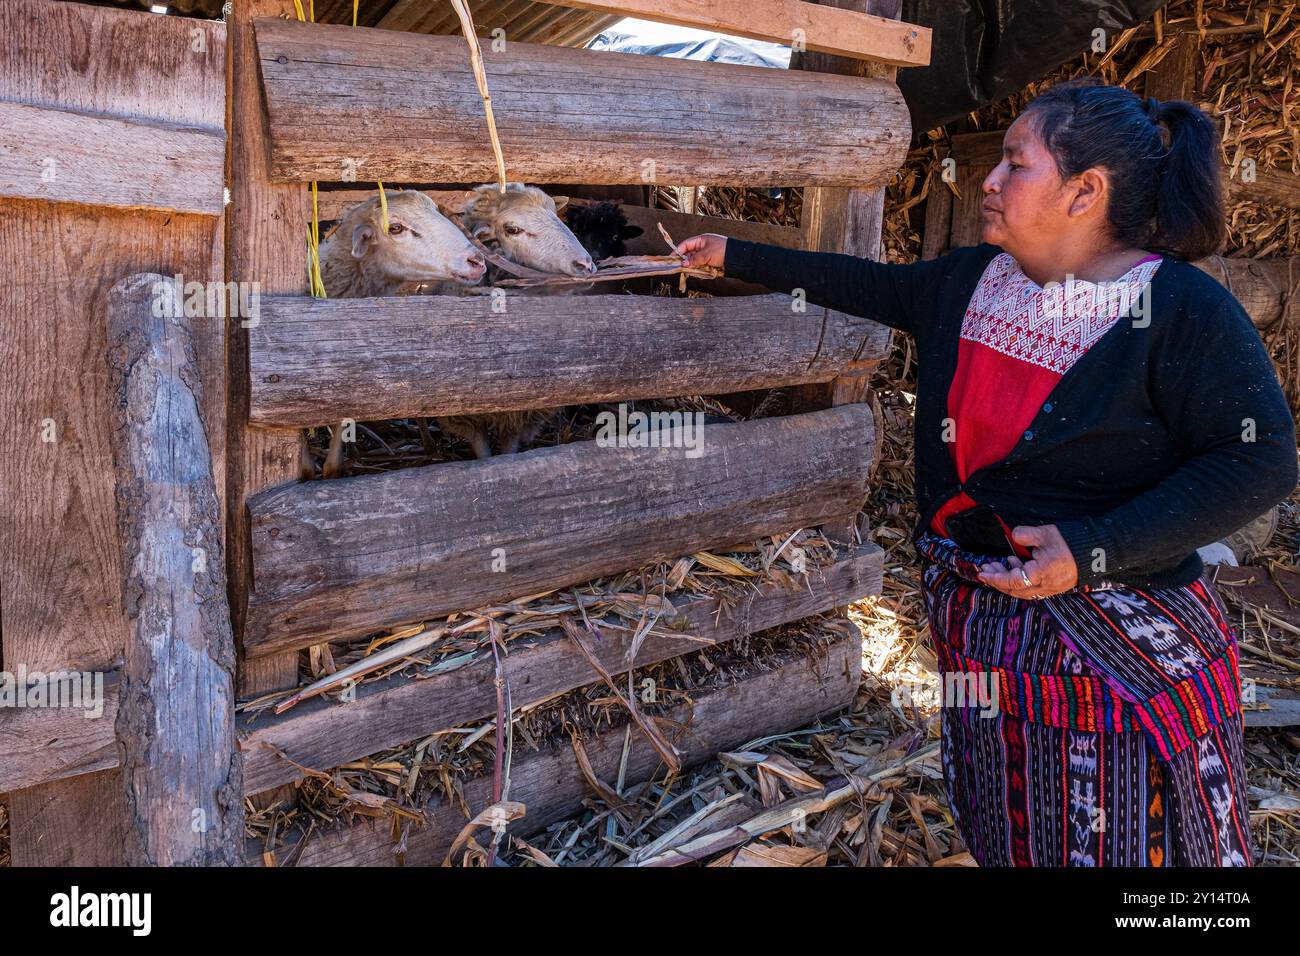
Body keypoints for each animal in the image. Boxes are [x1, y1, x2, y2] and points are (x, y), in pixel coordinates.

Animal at [434, 183, 596, 459]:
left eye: (556, 215)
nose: (585, 265)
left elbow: (510, 449)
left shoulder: (521, 413)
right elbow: (482, 448)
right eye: (512, 229)